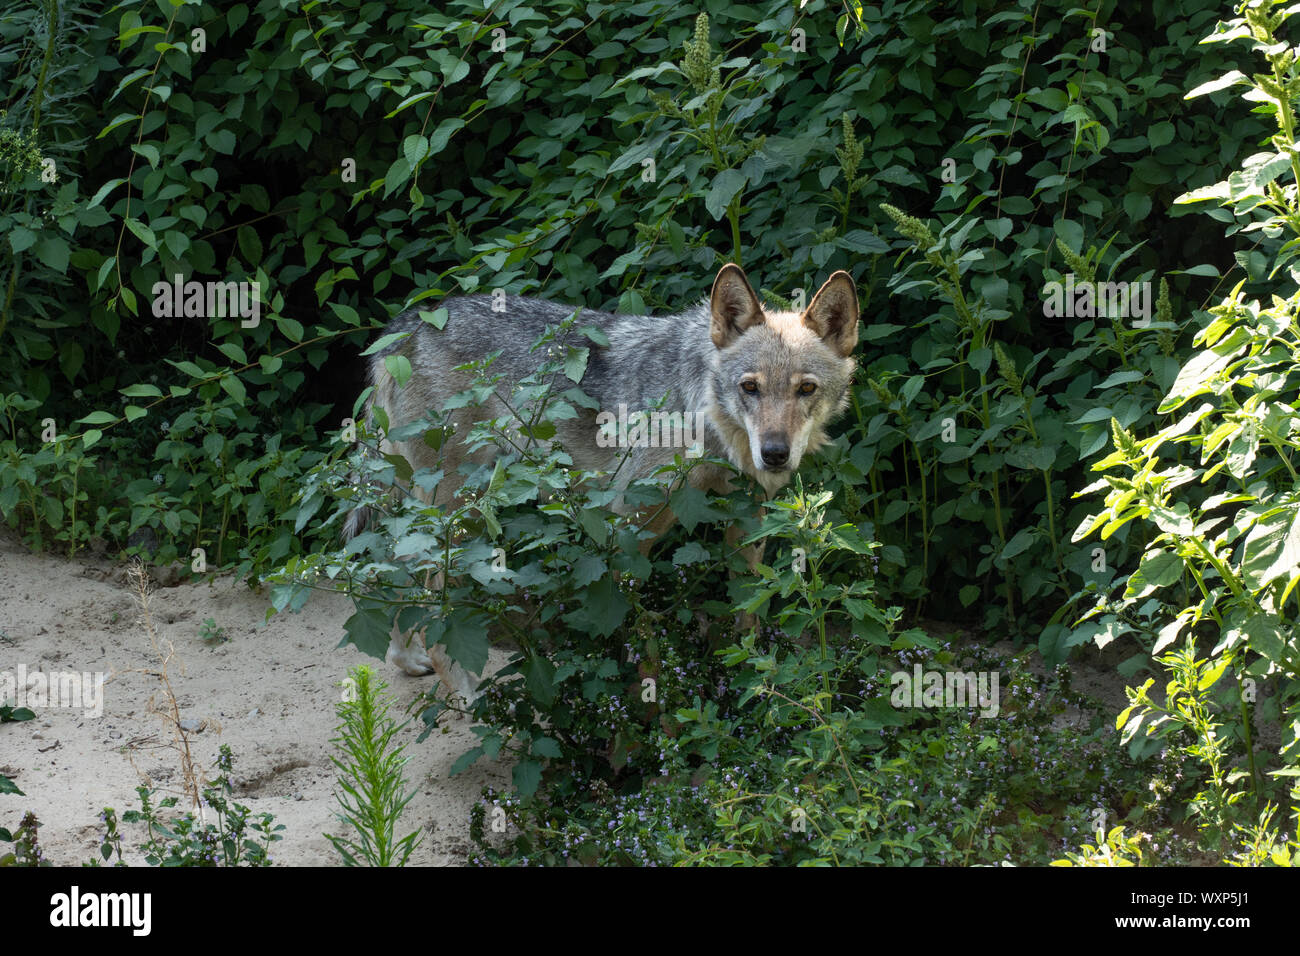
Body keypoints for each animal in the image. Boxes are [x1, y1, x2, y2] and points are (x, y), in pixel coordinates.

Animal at [342, 263, 859, 703]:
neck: (699, 414)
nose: (774, 454)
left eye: (806, 389)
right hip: (458, 515)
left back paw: (406, 660)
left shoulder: (748, 524)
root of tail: (403, 326)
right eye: (749, 388)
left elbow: (747, 616)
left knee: (395, 576)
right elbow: (640, 634)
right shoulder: (628, 529)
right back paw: (469, 699)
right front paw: (649, 703)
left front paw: (751, 688)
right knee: (431, 605)